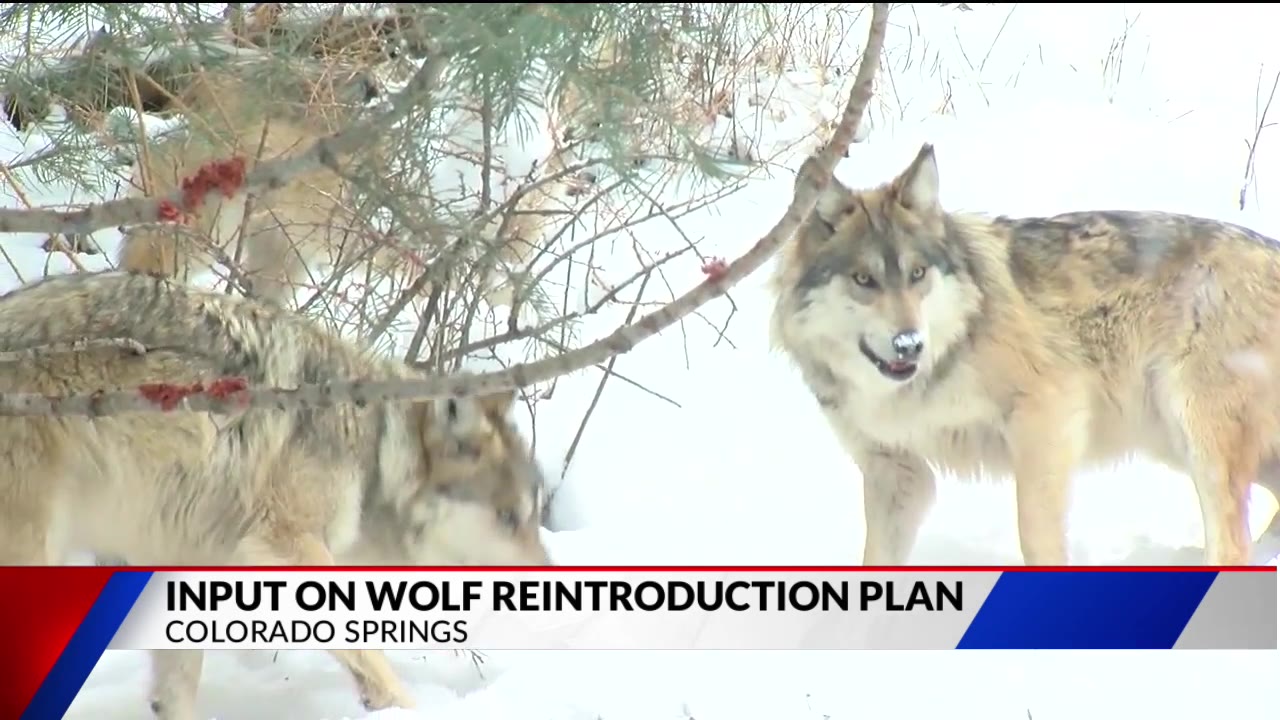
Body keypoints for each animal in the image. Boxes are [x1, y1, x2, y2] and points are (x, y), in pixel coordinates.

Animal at [0, 269, 551, 718]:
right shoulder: (287, 543)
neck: (374, 448)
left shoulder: (182, 560)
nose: (549, 580)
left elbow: (175, 691)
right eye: (509, 518)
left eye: (531, 516)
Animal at [770, 143, 1280, 567]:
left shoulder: (1048, 418)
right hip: (1174, 438)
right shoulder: (896, 473)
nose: (909, 344)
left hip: (1197, 438)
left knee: (1233, 547)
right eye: (864, 279)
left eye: (917, 273)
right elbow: (874, 565)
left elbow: (1035, 537)